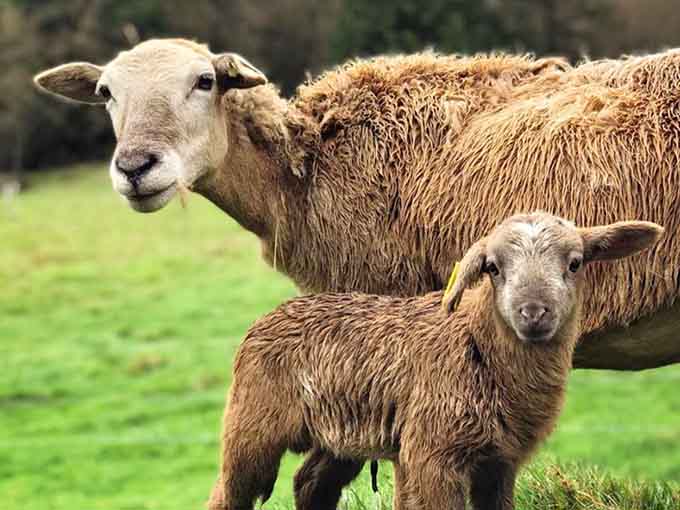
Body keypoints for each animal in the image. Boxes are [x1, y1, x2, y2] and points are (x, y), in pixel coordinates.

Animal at [207, 212, 663, 510]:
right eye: (492, 268)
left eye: (575, 263)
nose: (533, 313)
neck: (477, 346)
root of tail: (269, 317)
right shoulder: (433, 456)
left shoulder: (499, 463)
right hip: (252, 425)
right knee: (227, 494)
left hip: (340, 436)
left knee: (311, 484)